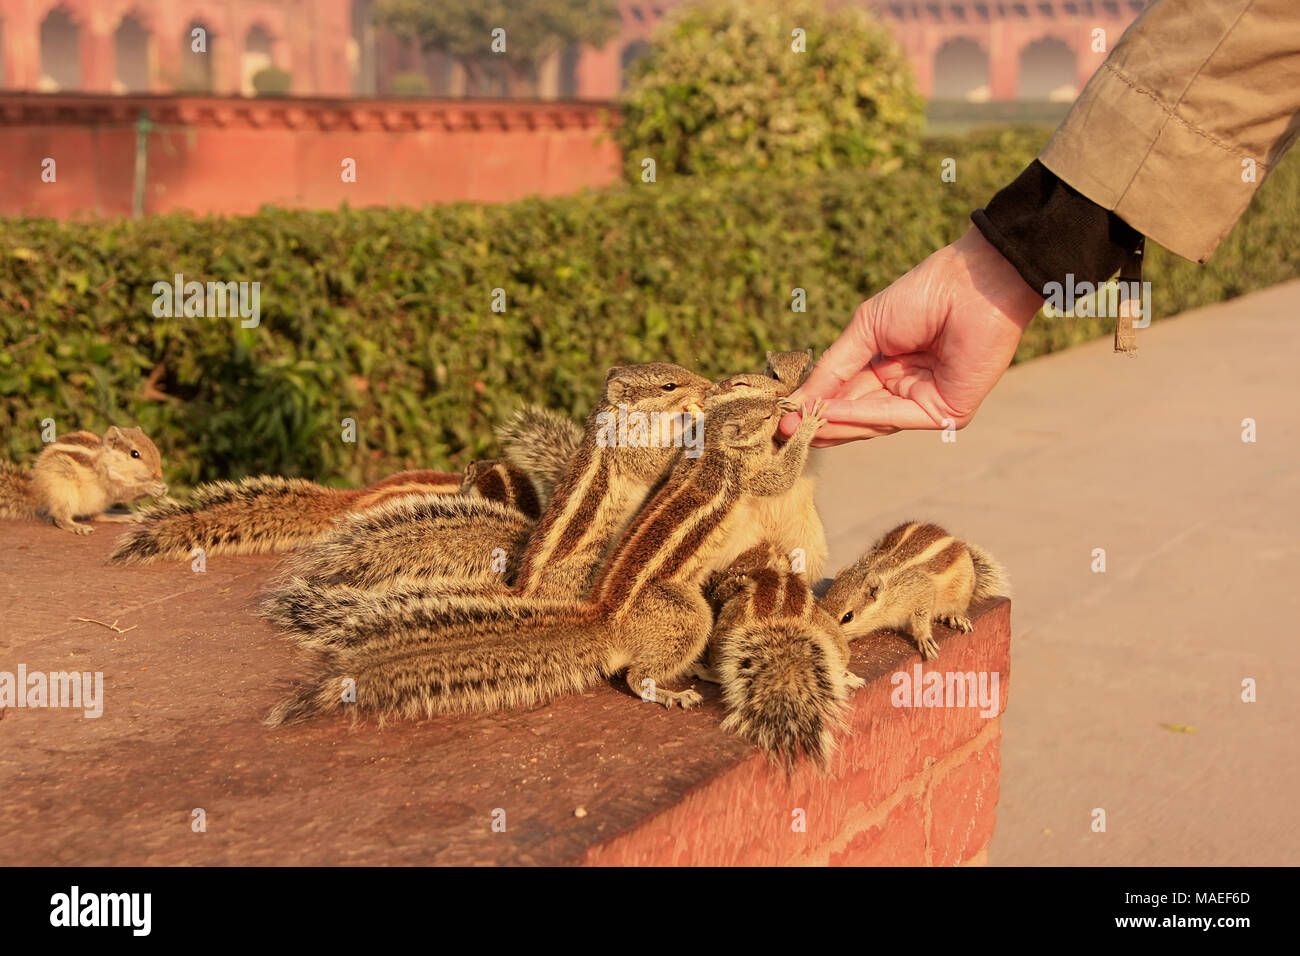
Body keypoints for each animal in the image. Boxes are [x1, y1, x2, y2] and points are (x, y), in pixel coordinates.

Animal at [0, 427, 167, 534]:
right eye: (135, 454)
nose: (159, 474)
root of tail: (36, 491)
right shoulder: (107, 478)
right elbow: (122, 491)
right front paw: (149, 487)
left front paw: (163, 488)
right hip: (63, 493)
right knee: (60, 518)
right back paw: (77, 527)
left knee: (97, 516)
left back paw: (126, 517)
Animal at [264, 390, 827, 726]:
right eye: (760, 414)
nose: (784, 405)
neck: (715, 453)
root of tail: (606, 621)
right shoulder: (750, 474)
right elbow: (777, 474)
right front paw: (807, 427)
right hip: (684, 613)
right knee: (637, 675)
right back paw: (670, 690)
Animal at [819, 520, 1010, 661]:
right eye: (822, 603)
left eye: (847, 617)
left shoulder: (919, 589)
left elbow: (921, 614)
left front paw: (924, 638)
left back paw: (954, 616)